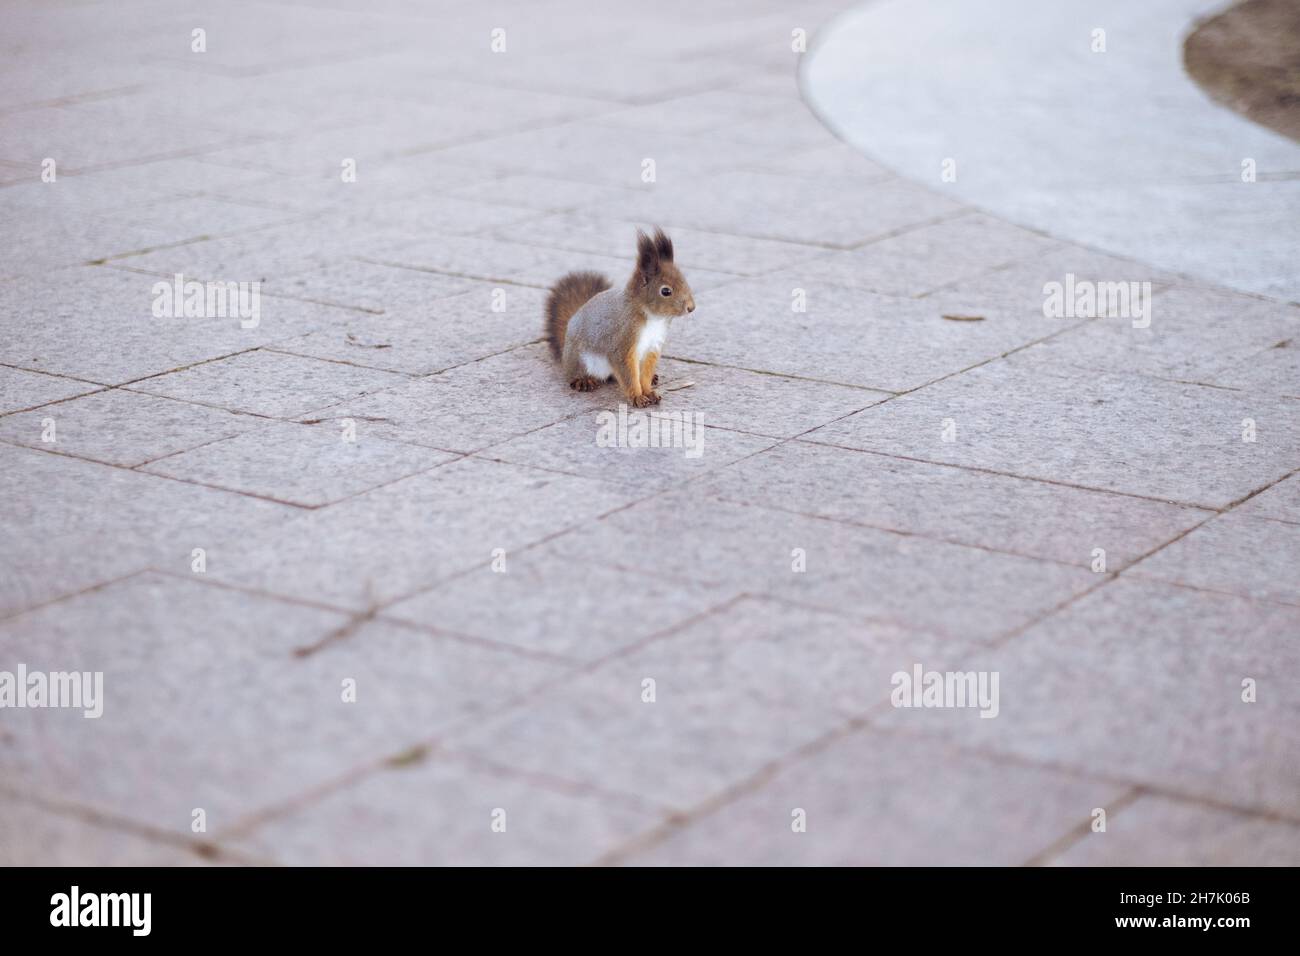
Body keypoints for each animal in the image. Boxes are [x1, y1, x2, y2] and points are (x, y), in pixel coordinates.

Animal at [543, 227, 695, 408]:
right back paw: (583, 380)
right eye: (666, 291)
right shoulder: (623, 342)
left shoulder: (652, 348)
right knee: (574, 374)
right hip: (580, 359)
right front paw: (637, 397)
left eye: (685, 282)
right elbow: (628, 375)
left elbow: (644, 375)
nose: (691, 308)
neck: (654, 319)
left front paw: (649, 392)